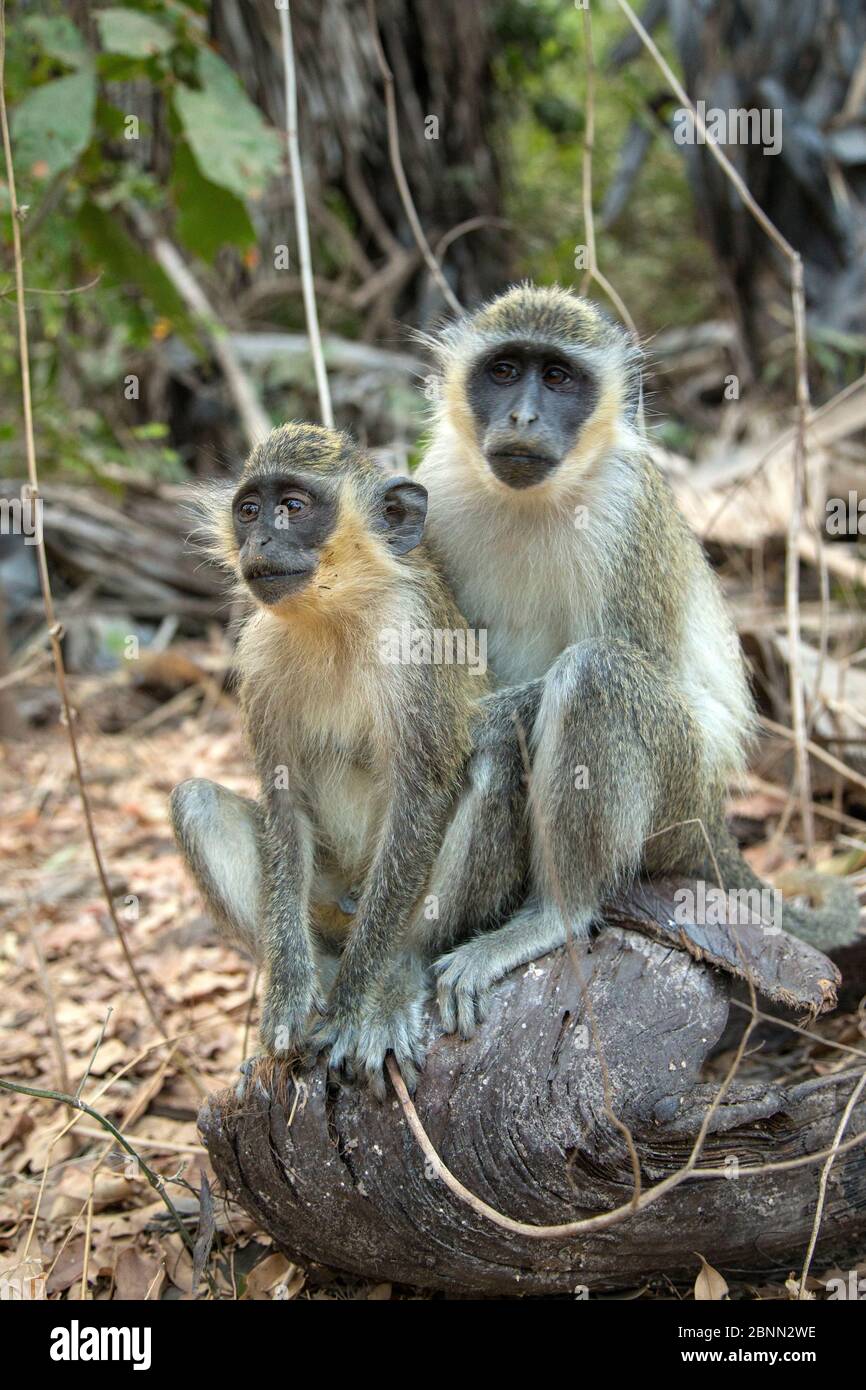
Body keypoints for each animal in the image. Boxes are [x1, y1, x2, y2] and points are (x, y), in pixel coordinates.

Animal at [169, 422, 488, 1092]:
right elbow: (283, 808)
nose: (260, 539)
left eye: (293, 507)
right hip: (328, 894)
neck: (336, 618)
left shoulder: (416, 639)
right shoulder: (258, 656)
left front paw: (350, 1008)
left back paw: (393, 980)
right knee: (196, 801)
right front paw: (291, 996)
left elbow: (418, 800)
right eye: (249, 510)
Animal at [410, 281, 860, 1037]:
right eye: (503, 370)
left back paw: (554, 916)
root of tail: (715, 814)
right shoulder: (431, 486)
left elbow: (634, 657)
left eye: (557, 377)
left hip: (678, 798)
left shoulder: (629, 507)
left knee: (597, 676)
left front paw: (486, 719)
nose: (524, 415)